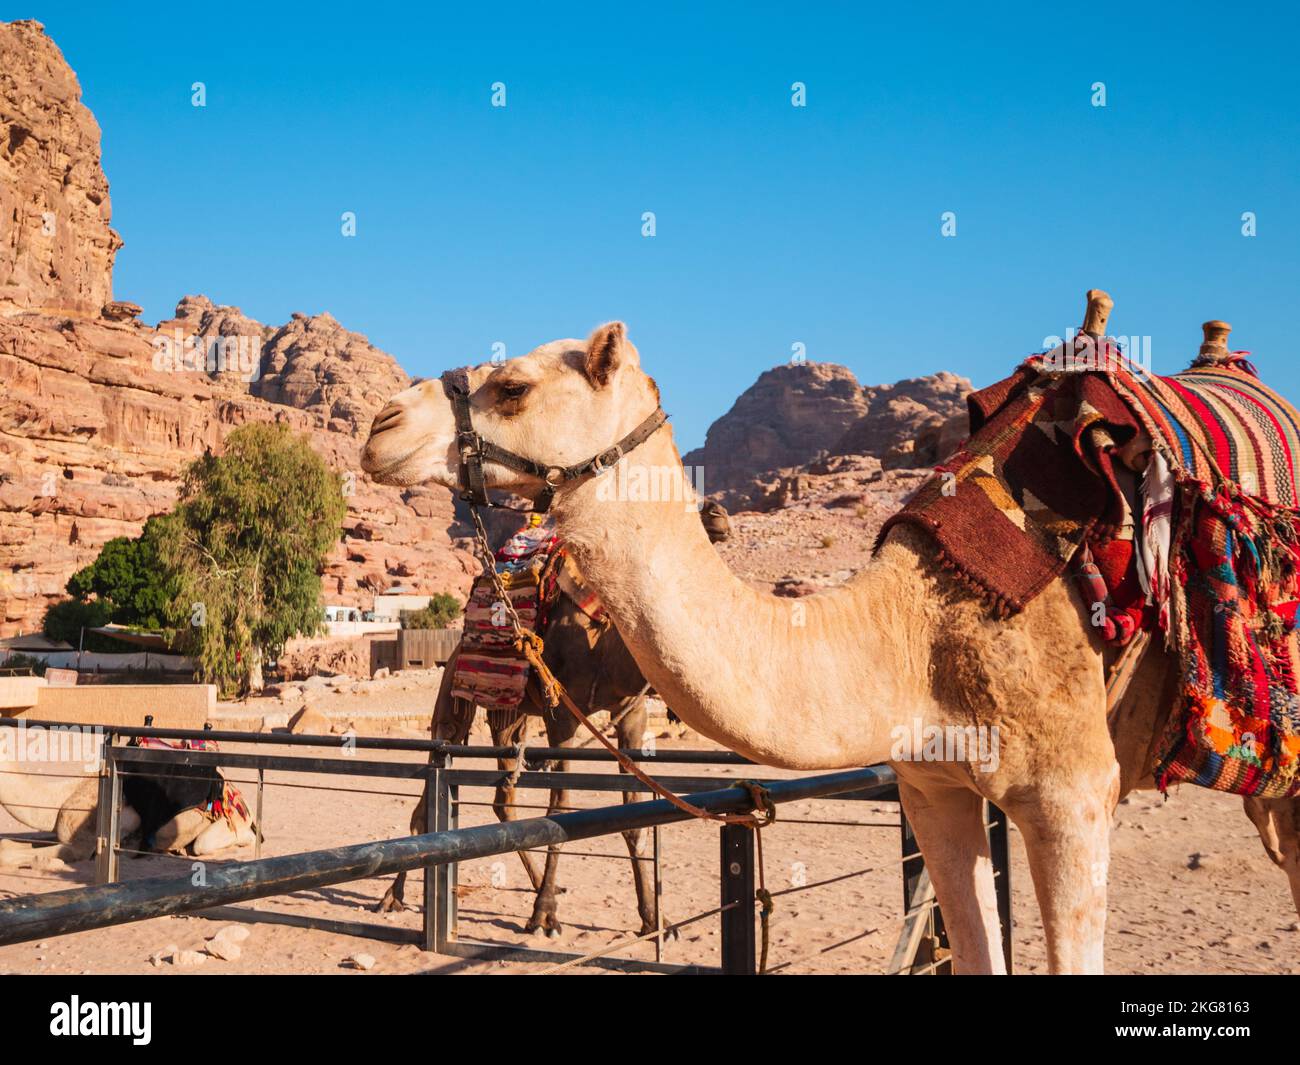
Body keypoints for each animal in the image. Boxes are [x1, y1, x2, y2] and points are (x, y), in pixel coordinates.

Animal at [376, 503, 732, 938]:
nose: (718, 513)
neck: (605, 644)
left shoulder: (630, 716)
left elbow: (633, 817)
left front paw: (654, 919)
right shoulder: (562, 716)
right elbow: (559, 811)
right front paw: (543, 915)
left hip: (511, 718)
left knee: (503, 799)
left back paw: (540, 886)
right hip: (452, 699)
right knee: (432, 786)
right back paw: (393, 896)